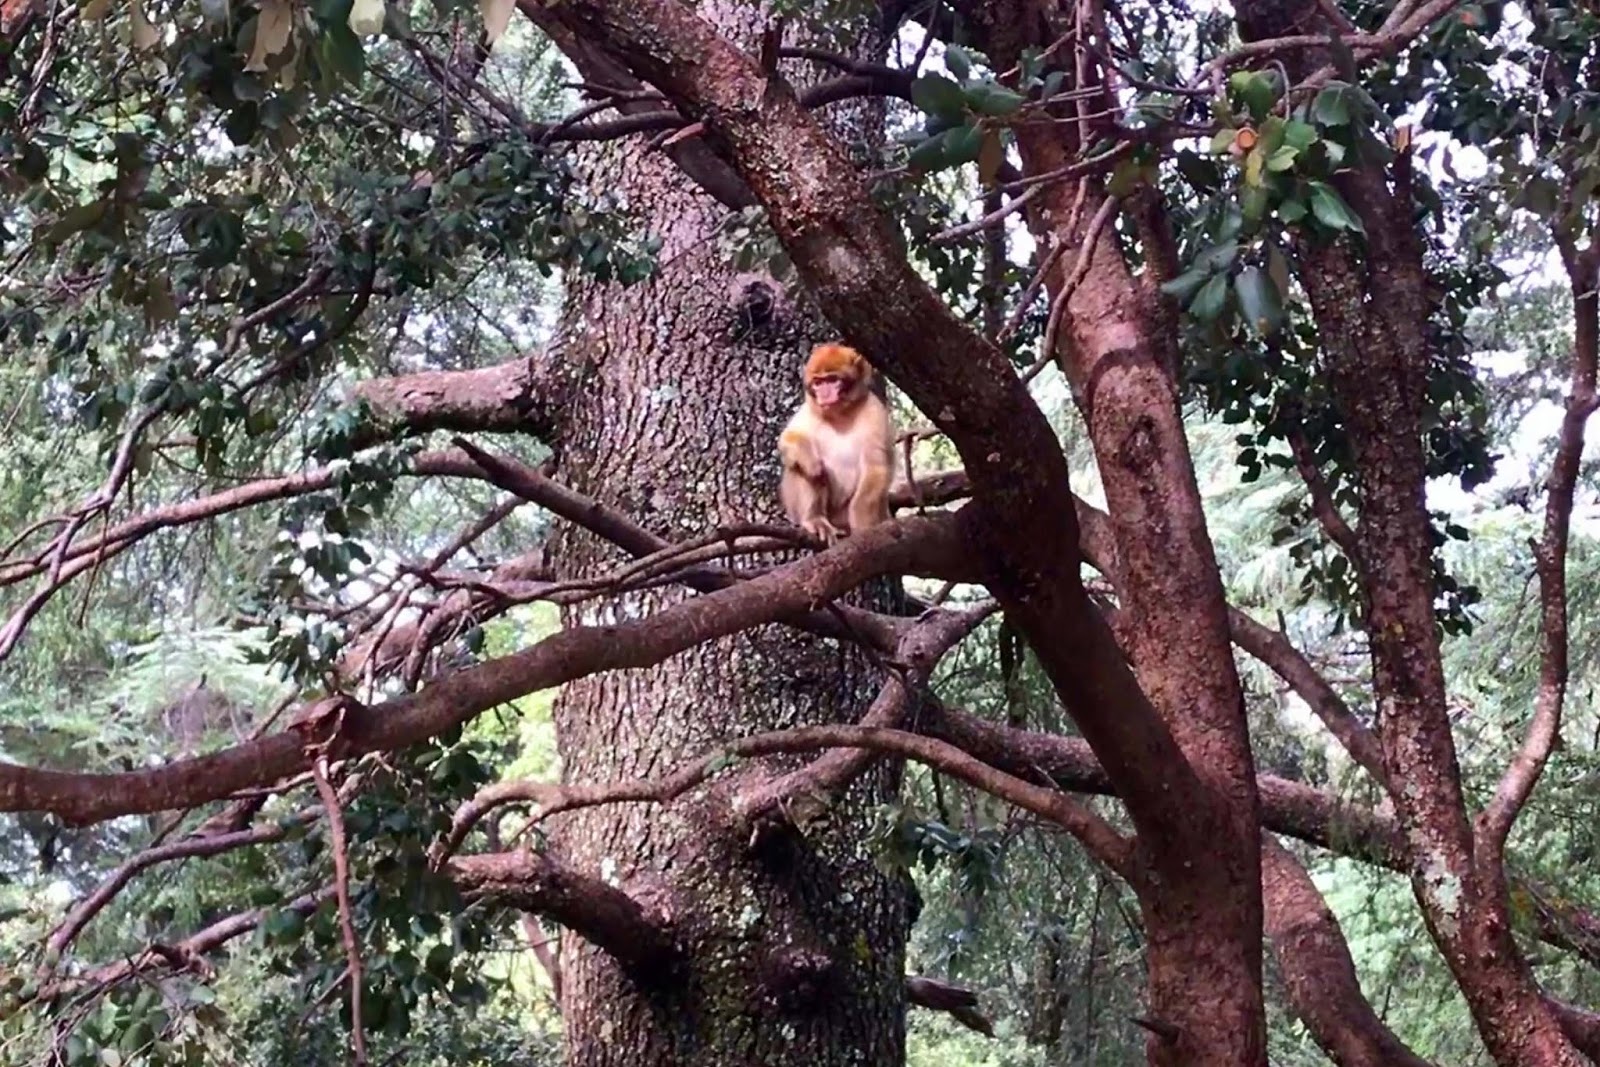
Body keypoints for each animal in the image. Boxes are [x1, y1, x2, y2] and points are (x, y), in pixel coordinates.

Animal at [777, 343, 894, 545]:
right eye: (818, 383)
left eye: (832, 380)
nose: (824, 394)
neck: (840, 414)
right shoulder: (809, 410)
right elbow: (788, 439)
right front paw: (810, 460)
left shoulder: (874, 410)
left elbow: (876, 466)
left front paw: (863, 525)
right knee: (801, 468)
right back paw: (815, 519)